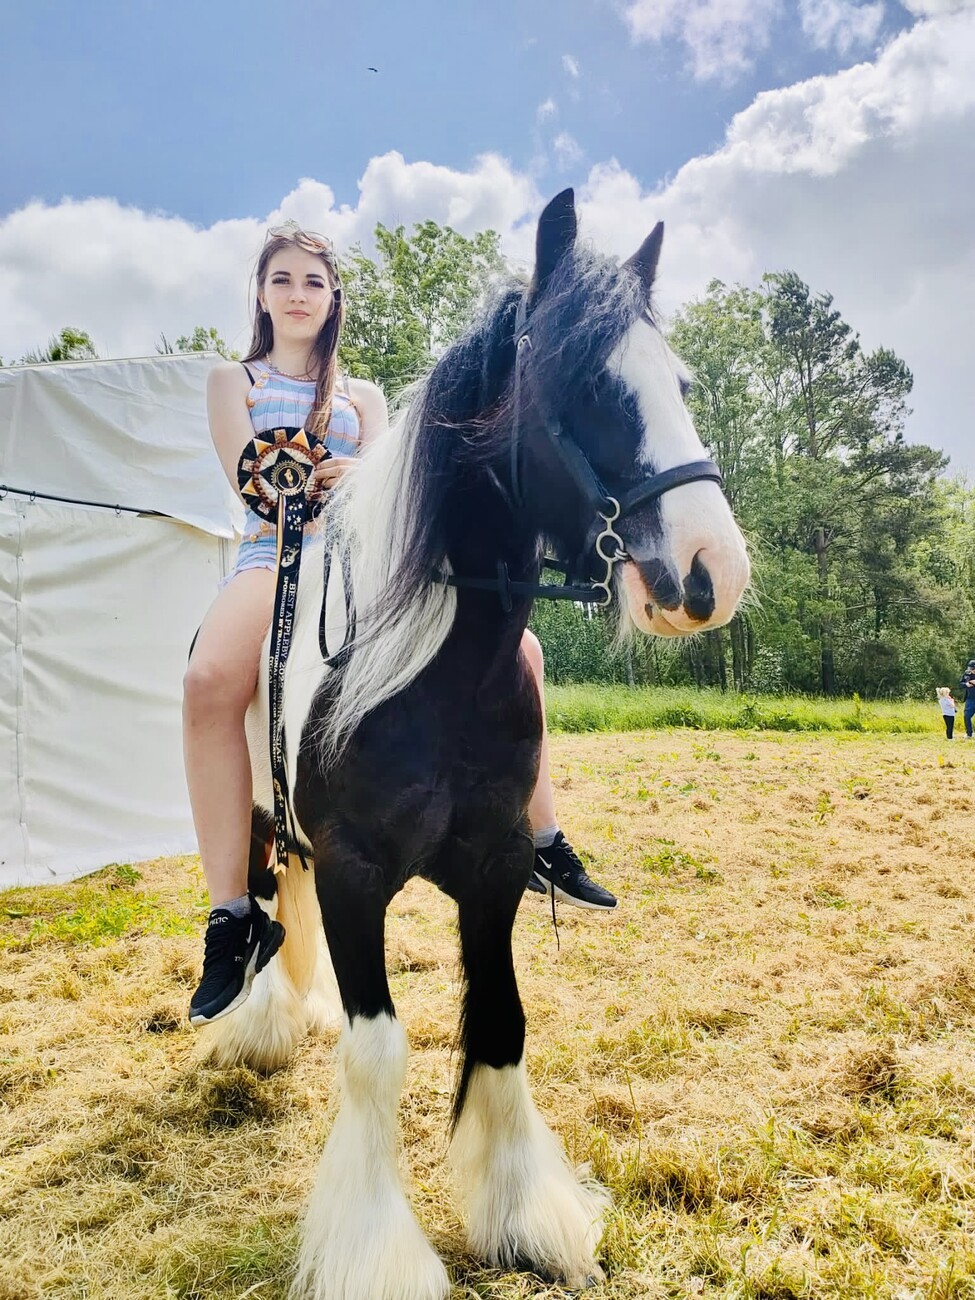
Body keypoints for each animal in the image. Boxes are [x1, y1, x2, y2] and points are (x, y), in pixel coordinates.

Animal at [201, 188, 750, 1300]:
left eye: (677, 383)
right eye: (588, 385)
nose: (713, 571)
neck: (430, 671)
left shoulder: (494, 869)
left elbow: (502, 1023)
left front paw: (526, 1216)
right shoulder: (357, 874)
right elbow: (376, 1053)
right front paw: (377, 1257)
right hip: (258, 815)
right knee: (257, 902)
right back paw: (250, 1016)